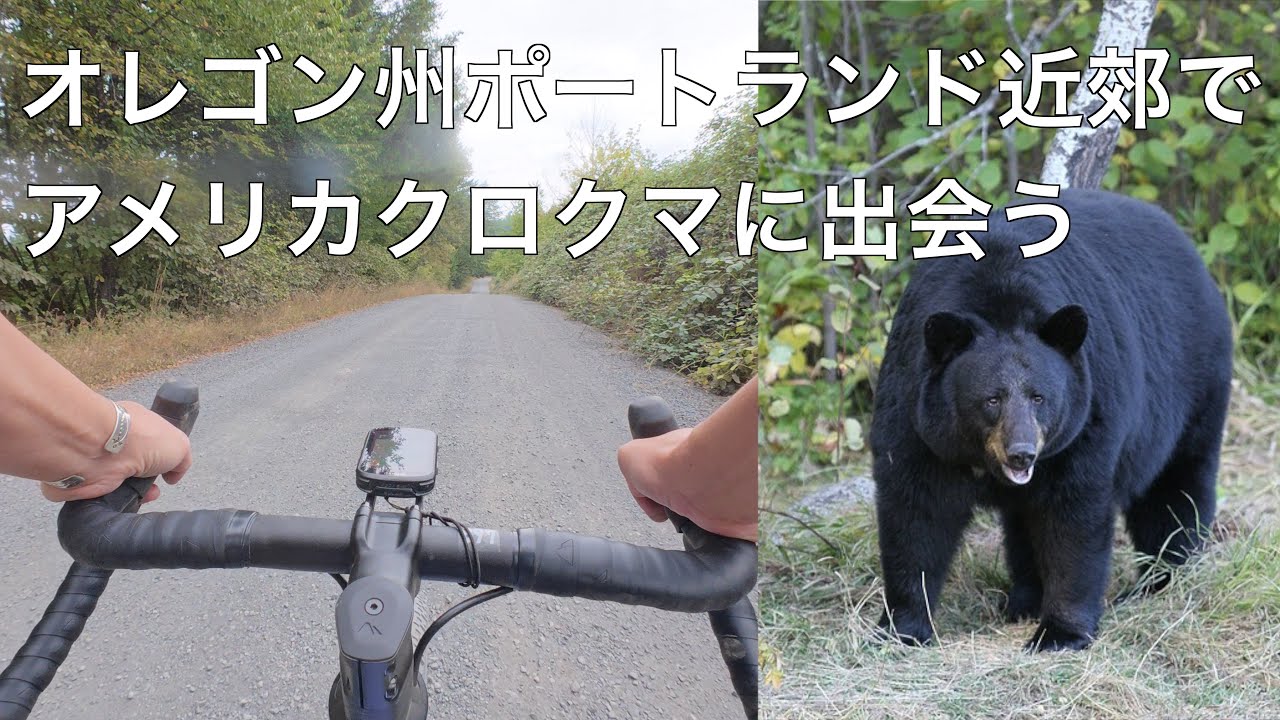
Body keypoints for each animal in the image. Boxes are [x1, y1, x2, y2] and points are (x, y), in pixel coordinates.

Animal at [868, 188, 1233, 652]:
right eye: (991, 399)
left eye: (1039, 398)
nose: (1022, 454)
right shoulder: (916, 414)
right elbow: (916, 511)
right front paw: (904, 627)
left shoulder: (1086, 420)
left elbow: (1073, 517)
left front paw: (1060, 633)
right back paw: (1023, 600)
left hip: (1193, 388)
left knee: (1174, 490)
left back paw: (1163, 580)